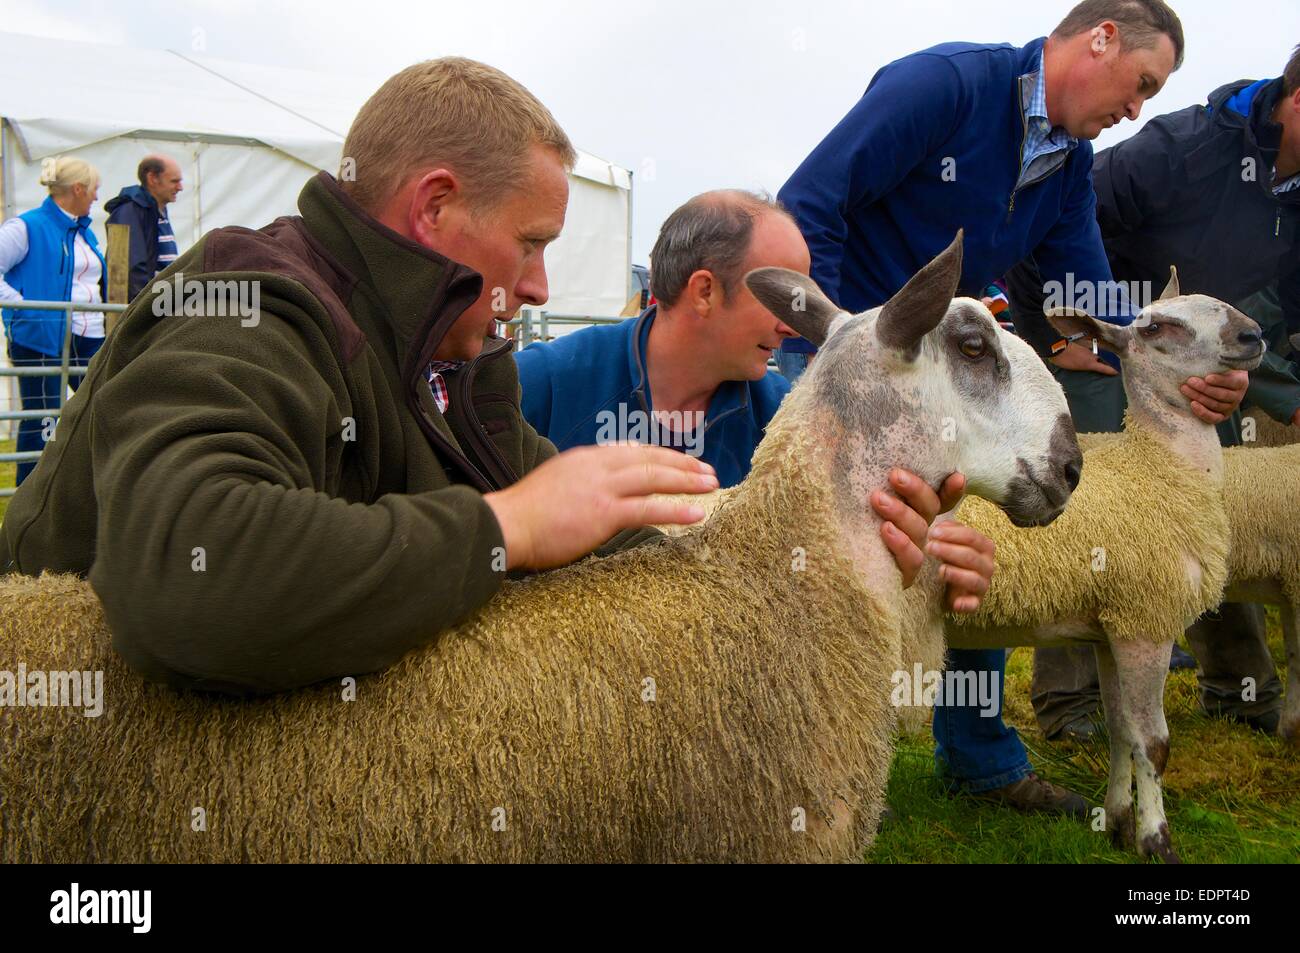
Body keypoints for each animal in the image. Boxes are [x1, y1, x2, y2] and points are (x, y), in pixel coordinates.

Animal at [939, 271, 1266, 864]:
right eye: (1156, 327)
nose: (1251, 336)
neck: (1160, 470)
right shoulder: (1147, 624)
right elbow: (1154, 744)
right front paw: (1157, 840)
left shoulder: (1111, 628)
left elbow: (1121, 732)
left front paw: (1116, 823)